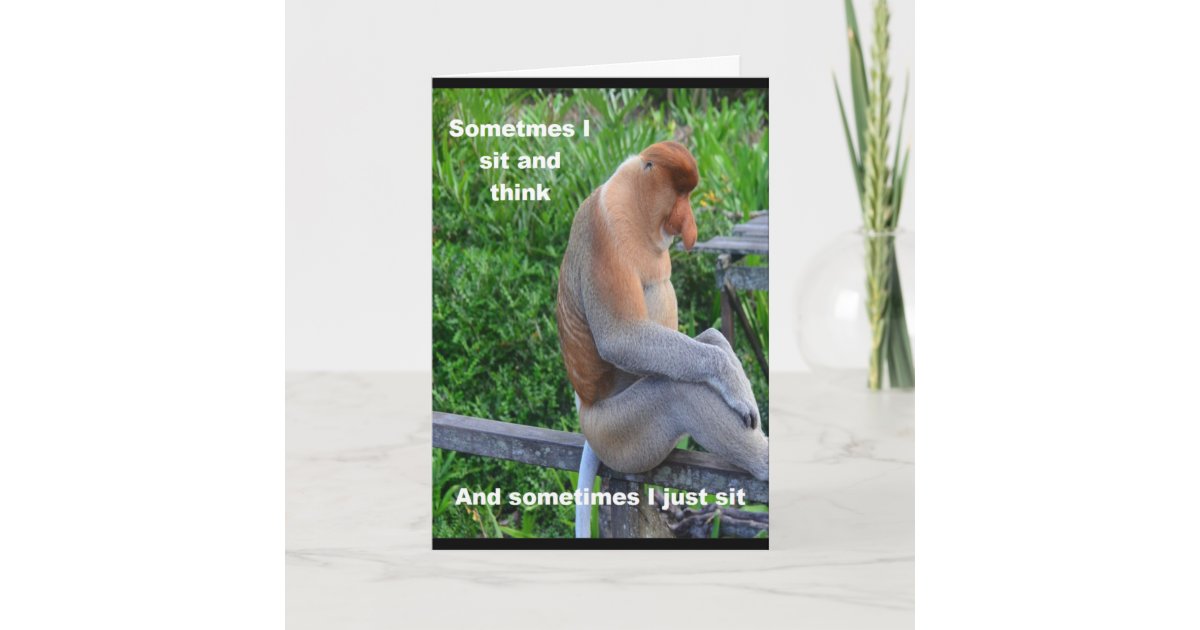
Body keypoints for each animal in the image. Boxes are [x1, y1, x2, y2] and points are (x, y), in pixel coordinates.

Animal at [555, 141, 769, 538]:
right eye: (680, 195)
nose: (689, 222)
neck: (632, 201)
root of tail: (586, 411)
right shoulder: (603, 231)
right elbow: (621, 339)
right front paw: (735, 383)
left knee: (698, 349)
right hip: (620, 434)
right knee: (677, 391)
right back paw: (765, 461)